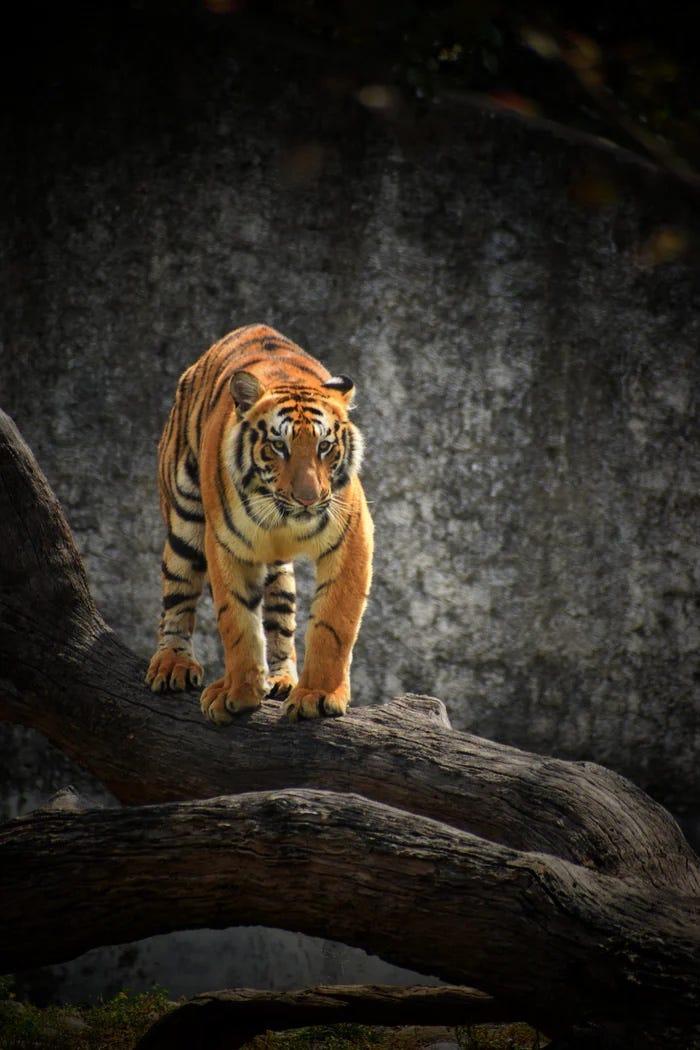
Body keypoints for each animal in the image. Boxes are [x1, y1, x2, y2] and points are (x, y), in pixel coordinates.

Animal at [145, 323, 374, 724]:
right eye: (279, 446)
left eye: (324, 447)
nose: (308, 498)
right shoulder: (226, 543)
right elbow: (237, 622)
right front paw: (237, 693)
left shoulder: (352, 536)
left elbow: (333, 623)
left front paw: (317, 695)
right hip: (185, 522)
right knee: (177, 595)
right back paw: (172, 663)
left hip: (278, 571)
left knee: (281, 617)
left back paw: (283, 679)